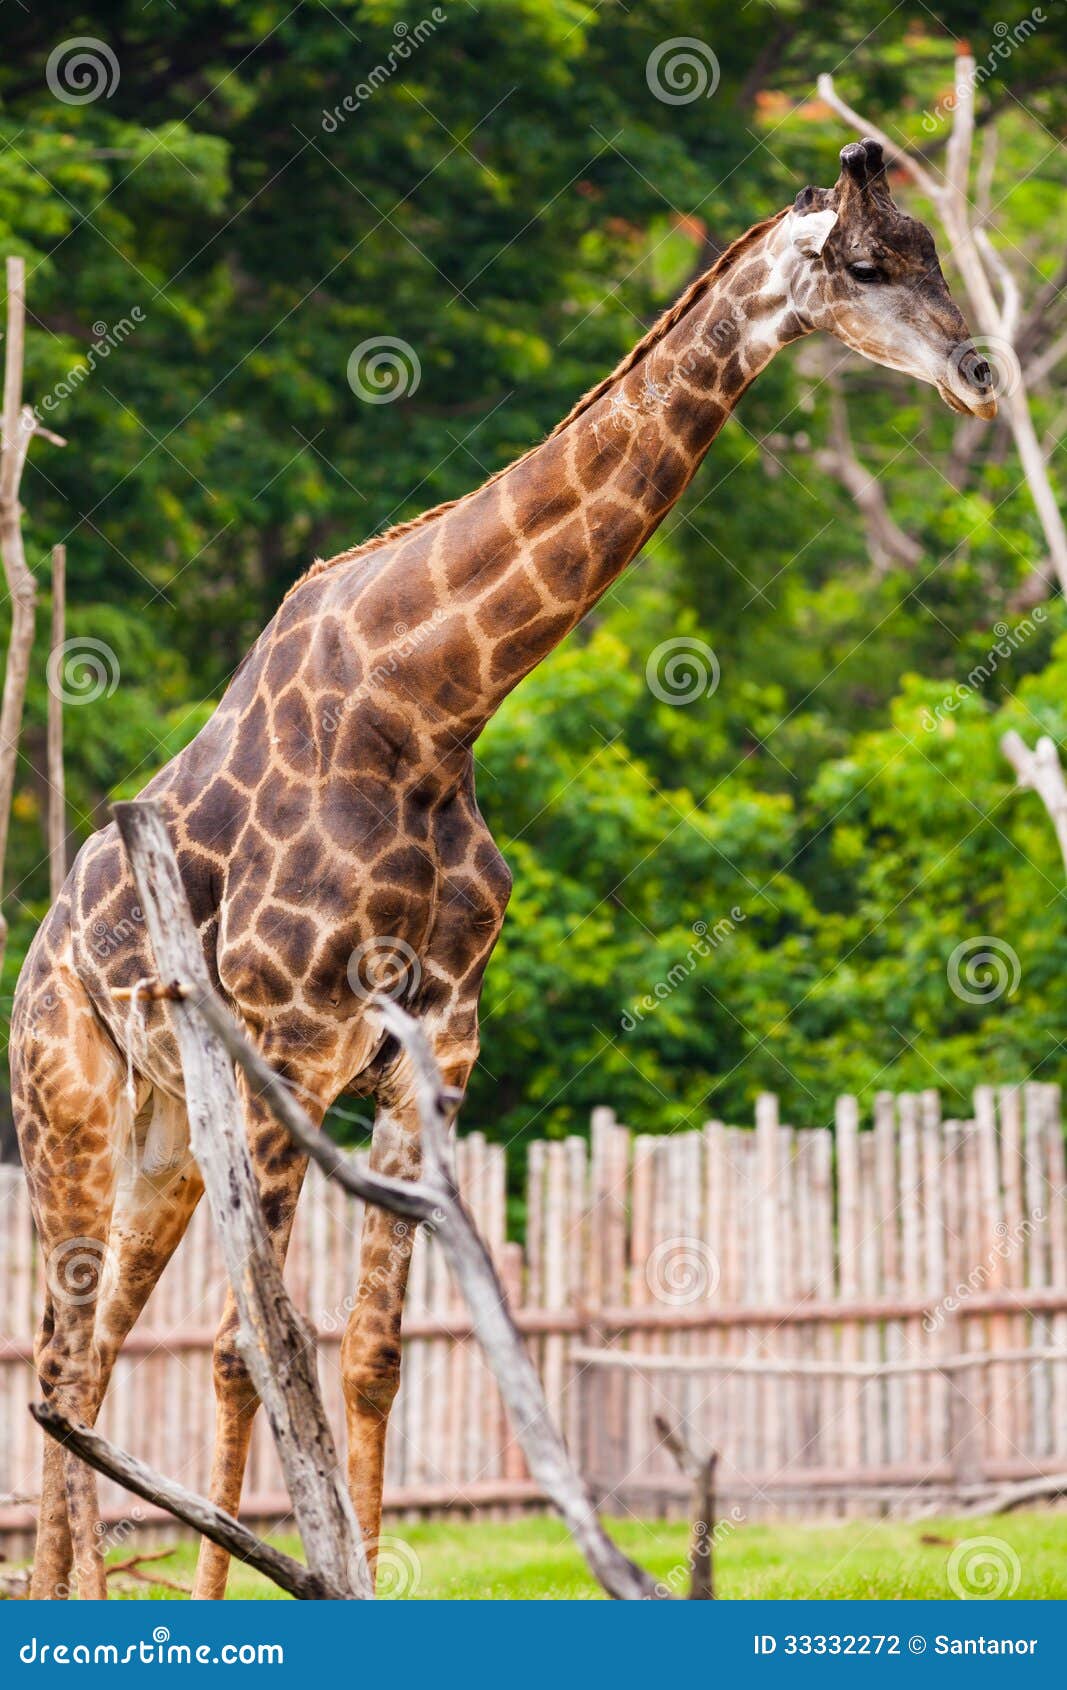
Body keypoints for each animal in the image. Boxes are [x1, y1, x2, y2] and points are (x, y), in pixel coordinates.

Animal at [11, 139, 995, 1599]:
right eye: (869, 264)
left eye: (932, 250)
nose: (978, 371)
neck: (429, 705)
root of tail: (38, 956)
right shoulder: (293, 1038)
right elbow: (258, 1350)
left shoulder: (439, 1038)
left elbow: (370, 1353)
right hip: (70, 1101)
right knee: (65, 1354)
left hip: (166, 1139)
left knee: (93, 1357)